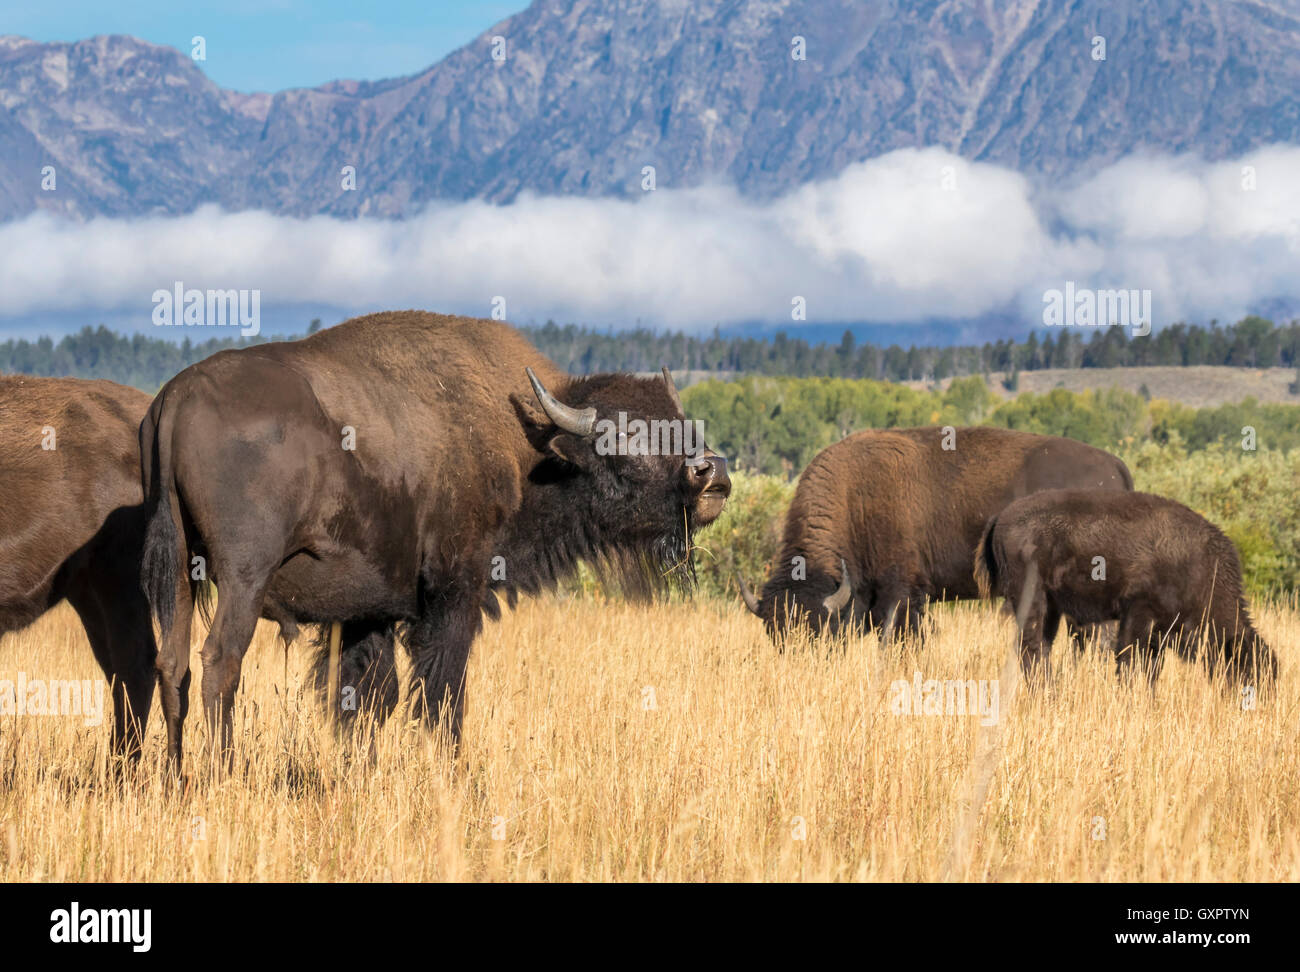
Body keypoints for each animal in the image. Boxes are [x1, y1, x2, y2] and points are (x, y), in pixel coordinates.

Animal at [140, 310, 730, 766]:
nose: (712, 472)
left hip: (181, 572)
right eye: (624, 433)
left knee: (173, 664)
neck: (530, 448)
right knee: (220, 661)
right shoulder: (454, 593)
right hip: (245, 577)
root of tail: (175, 395)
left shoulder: (368, 611)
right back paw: (222, 774)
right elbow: (442, 694)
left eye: (680, 421)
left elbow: (370, 697)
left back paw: (176, 778)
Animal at [975, 488, 1277, 685]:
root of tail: (1000, 518)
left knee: (1042, 646)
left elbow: (1151, 669)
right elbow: (1129, 661)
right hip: (1032, 598)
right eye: (1249, 671)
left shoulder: (1158, 632)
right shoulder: (1137, 614)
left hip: (1051, 606)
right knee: (1031, 647)